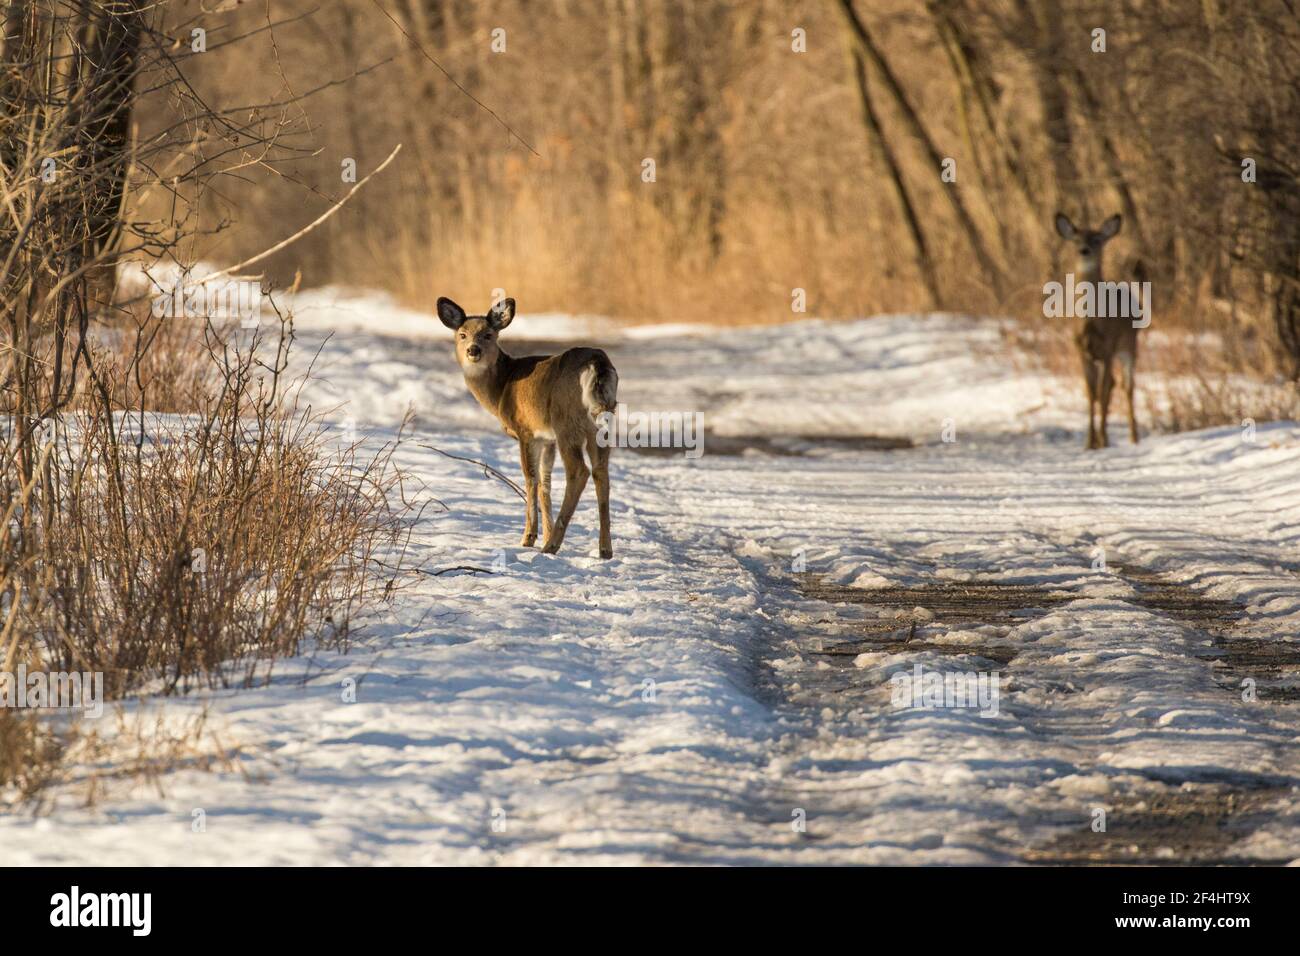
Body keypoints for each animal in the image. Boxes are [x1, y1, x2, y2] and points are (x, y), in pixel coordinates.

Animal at [438, 296, 619, 559]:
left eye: (489, 334)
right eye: (462, 334)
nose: (473, 350)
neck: (501, 388)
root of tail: (597, 363)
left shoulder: (526, 431)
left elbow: (530, 478)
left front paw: (529, 537)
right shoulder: (547, 438)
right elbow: (545, 482)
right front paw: (544, 531)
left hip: (566, 422)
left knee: (579, 471)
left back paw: (551, 545)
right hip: (602, 424)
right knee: (601, 472)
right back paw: (604, 549)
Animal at [1054, 212, 1143, 450]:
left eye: (1097, 240)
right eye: (1076, 240)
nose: (1084, 250)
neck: (1091, 321)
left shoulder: (1108, 349)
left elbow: (1102, 394)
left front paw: (1101, 440)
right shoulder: (1083, 352)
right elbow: (1091, 394)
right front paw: (1090, 441)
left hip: (1129, 347)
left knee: (1127, 387)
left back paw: (1133, 437)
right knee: (1113, 384)